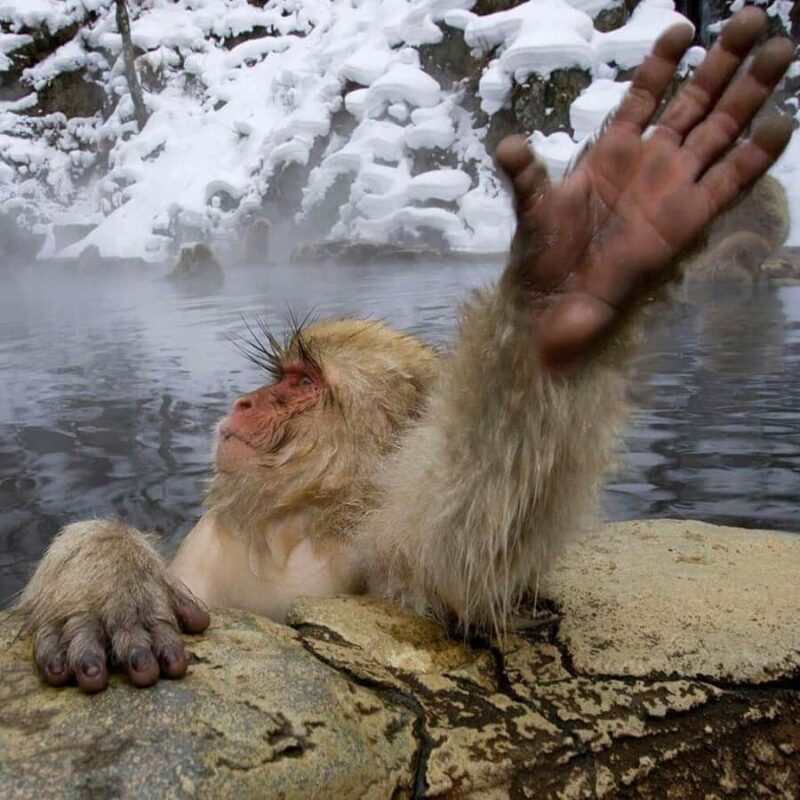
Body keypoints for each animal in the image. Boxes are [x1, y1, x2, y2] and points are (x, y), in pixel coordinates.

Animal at [16, 9, 795, 693]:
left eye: (301, 384)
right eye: (279, 377)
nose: (244, 401)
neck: (293, 523)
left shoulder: (385, 555)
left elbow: (464, 540)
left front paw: (572, 299)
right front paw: (104, 583)